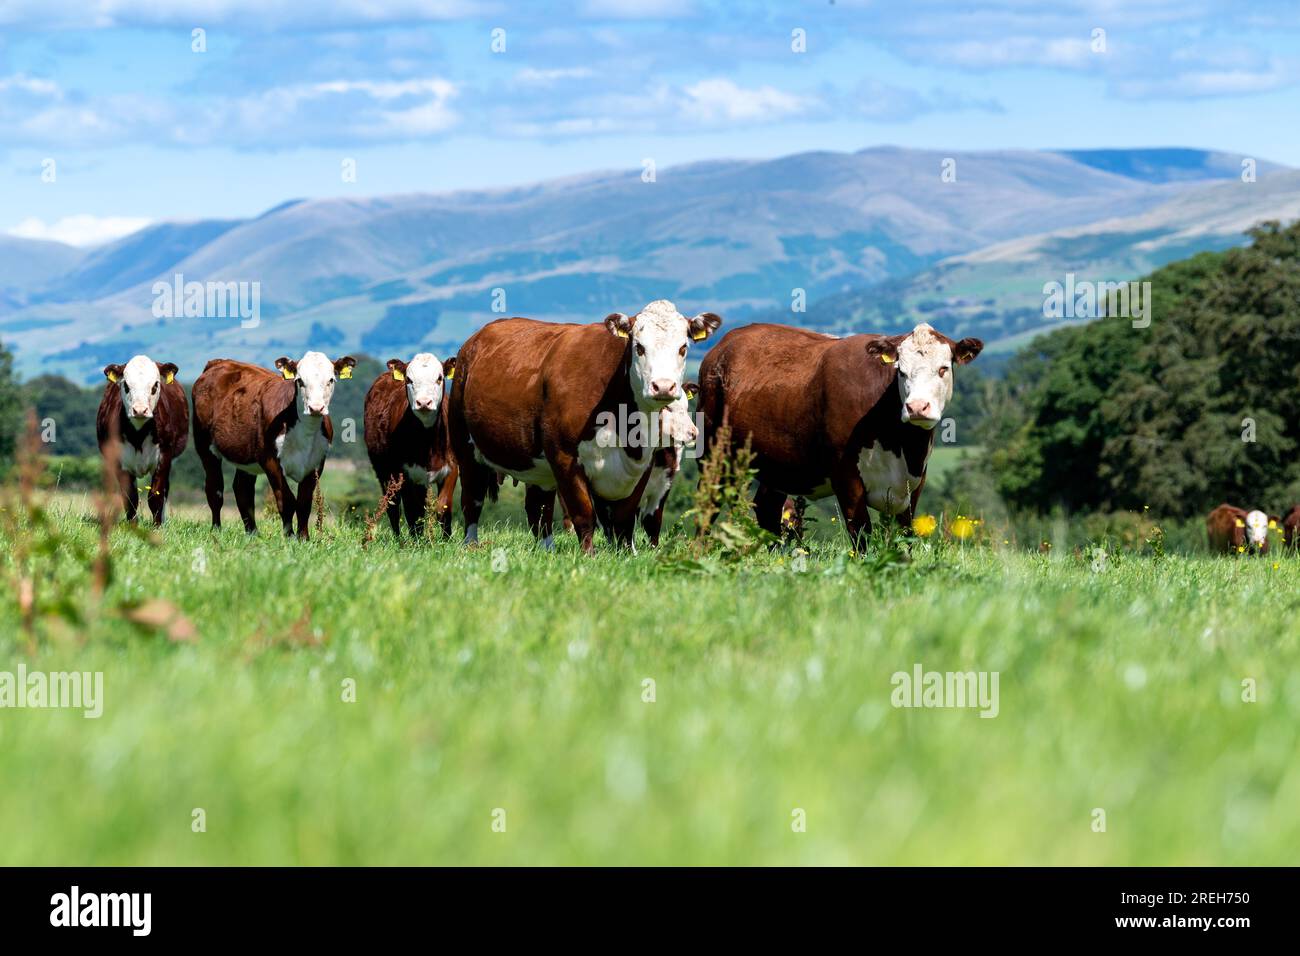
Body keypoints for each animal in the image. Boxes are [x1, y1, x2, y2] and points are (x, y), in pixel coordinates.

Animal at [96, 355, 189, 525]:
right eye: (126, 384)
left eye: (155, 385)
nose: (140, 410)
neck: (138, 435)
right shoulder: (119, 460)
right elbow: (130, 497)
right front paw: (132, 526)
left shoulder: (164, 456)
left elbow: (156, 496)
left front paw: (157, 525)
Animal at [191, 351, 356, 539]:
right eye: (299, 380)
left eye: (331, 380)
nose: (316, 408)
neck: (305, 433)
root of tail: (219, 362)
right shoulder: (270, 461)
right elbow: (287, 500)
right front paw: (289, 537)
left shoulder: (316, 463)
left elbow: (304, 503)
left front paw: (304, 538)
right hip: (204, 445)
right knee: (215, 489)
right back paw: (217, 530)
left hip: (246, 456)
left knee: (242, 490)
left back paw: (253, 533)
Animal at [363, 353, 459, 538]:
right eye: (409, 379)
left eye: (440, 378)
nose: (424, 402)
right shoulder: (404, 473)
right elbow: (412, 511)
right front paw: (416, 540)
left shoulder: (452, 468)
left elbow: (443, 507)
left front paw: (447, 539)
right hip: (383, 470)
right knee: (393, 506)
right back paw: (399, 539)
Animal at [448, 300, 722, 554]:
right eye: (639, 347)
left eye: (683, 348)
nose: (663, 386)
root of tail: (475, 339)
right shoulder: (565, 457)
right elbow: (584, 513)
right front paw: (588, 555)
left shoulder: (643, 463)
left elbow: (625, 519)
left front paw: (626, 555)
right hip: (465, 446)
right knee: (472, 498)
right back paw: (471, 544)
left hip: (538, 469)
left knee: (539, 508)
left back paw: (548, 550)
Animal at [696, 321, 982, 547]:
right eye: (901, 371)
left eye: (943, 368)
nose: (917, 407)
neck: (901, 445)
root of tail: (726, 343)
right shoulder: (846, 476)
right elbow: (861, 533)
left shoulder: (915, 481)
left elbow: (906, 533)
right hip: (713, 453)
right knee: (708, 502)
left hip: (776, 465)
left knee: (767, 509)